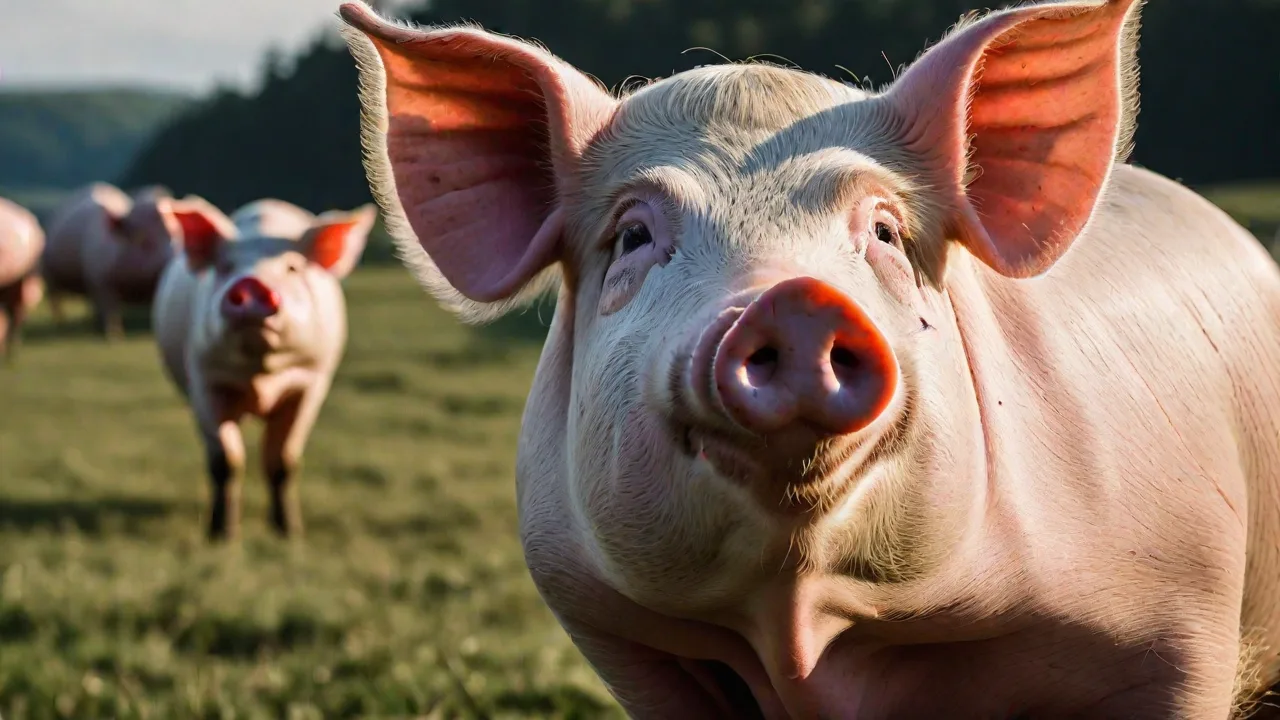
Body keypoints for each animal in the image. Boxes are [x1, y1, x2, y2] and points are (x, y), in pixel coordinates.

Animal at [42, 183, 190, 339]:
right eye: (142, 238)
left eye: (176, 233)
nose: (172, 260)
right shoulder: (99, 278)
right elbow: (110, 309)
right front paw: (114, 336)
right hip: (47, 270)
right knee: (56, 297)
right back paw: (62, 324)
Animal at [152, 197, 375, 540]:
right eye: (225, 267)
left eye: (292, 267)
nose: (251, 282)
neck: (261, 374)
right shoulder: (204, 379)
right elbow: (225, 462)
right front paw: (221, 536)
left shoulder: (310, 382)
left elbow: (282, 460)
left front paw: (289, 533)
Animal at [341, 0, 1280, 716]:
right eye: (634, 235)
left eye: (885, 231)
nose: (793, 298)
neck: (807, 633)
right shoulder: (621, 636)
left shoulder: (1178, 620)